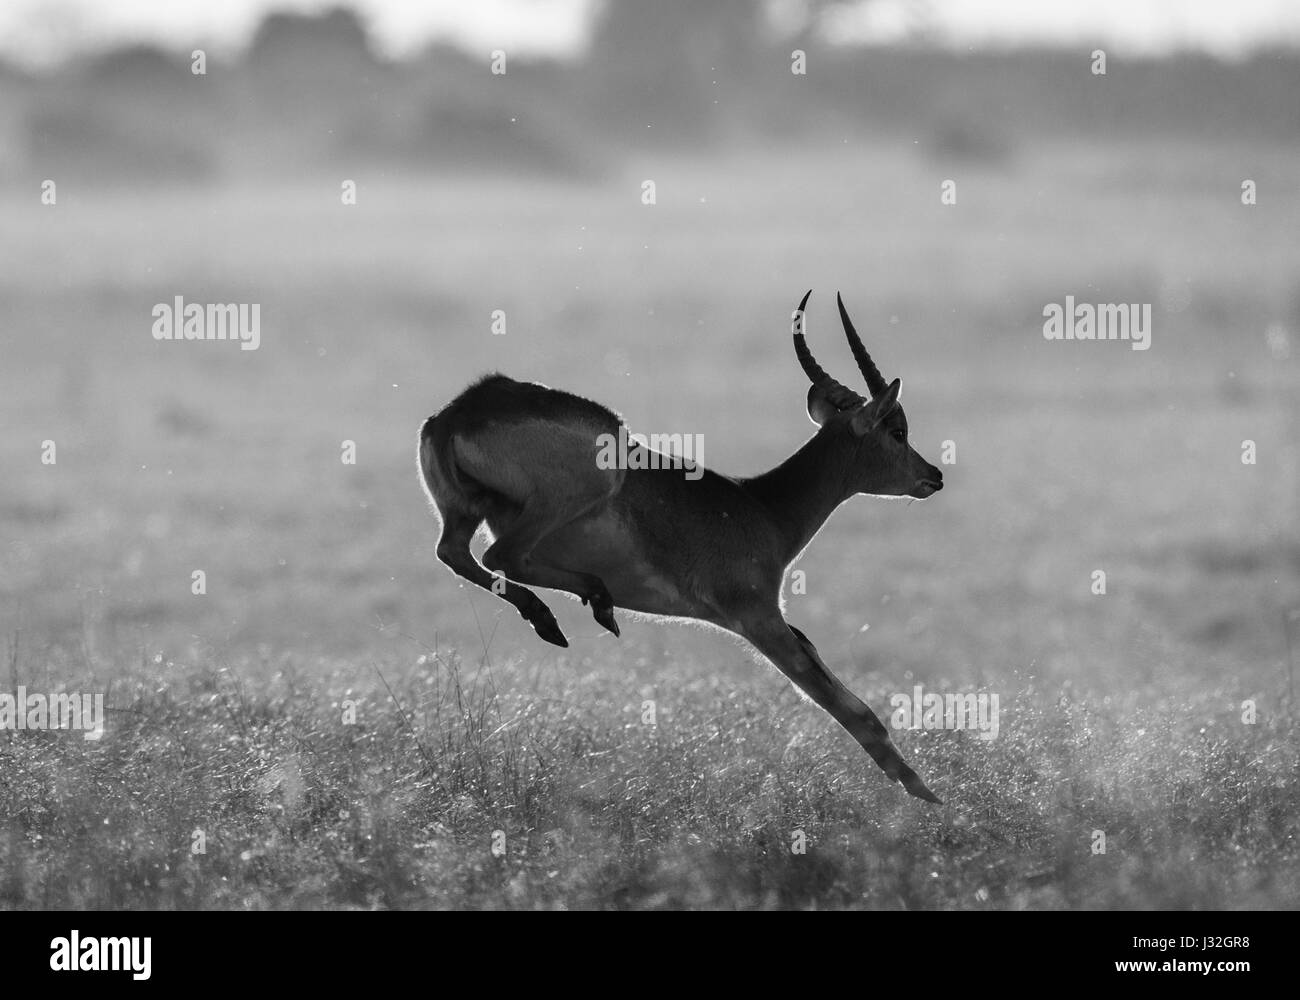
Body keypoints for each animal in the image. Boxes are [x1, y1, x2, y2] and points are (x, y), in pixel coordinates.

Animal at [418, 292, 945, 801]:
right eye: (897, 430)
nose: (934, 476)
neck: (764, 509)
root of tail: (458, 413)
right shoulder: (757, 616)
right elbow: (842, 702)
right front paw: (925, 793)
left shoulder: (776, 623)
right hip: (586, 483)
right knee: (500, 556)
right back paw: (582, 606)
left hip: (466, 512)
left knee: (454, 552)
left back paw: (581, 608)